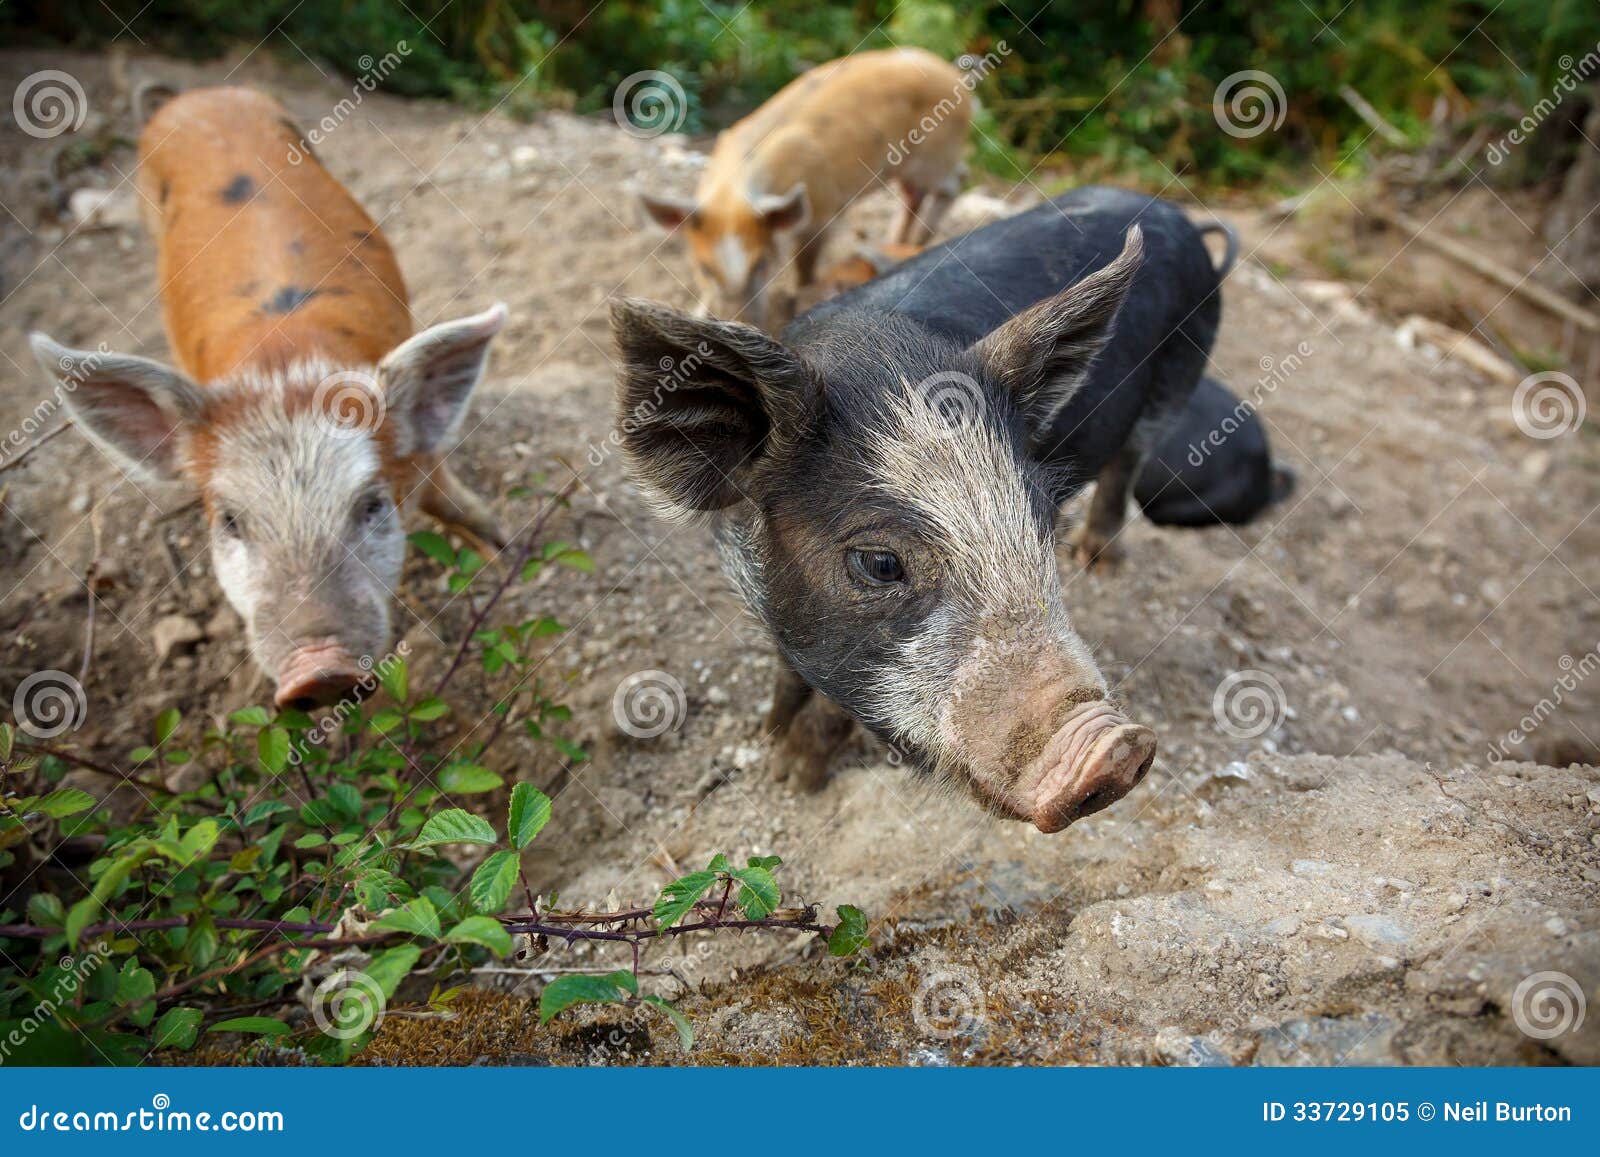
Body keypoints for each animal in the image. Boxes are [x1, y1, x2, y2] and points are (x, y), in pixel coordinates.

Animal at [29, 87, 506, 711]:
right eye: (231, 521)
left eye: (372, 504)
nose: (321, 670)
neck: (284, 364)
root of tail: (197, 95)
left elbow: (450, 496)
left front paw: (500, 550)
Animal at [611, 186, 1230, 832]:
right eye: (880, 563)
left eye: (1042, 524)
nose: (1117, 748)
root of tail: (1175, 214)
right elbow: (791, 666)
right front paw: (770, 738)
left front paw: (796, 779)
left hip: (1178, 383)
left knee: (1127, 465)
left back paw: (1101, 565)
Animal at [638, 47, 971, 330]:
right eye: (705, 269)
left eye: (762, 264)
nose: (737, 324)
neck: (734, 195)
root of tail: (954, 75)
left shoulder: (823, 213)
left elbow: (804, 266)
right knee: (914, 192)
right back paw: (896, 239)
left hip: (936, 157)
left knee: (955, 182)